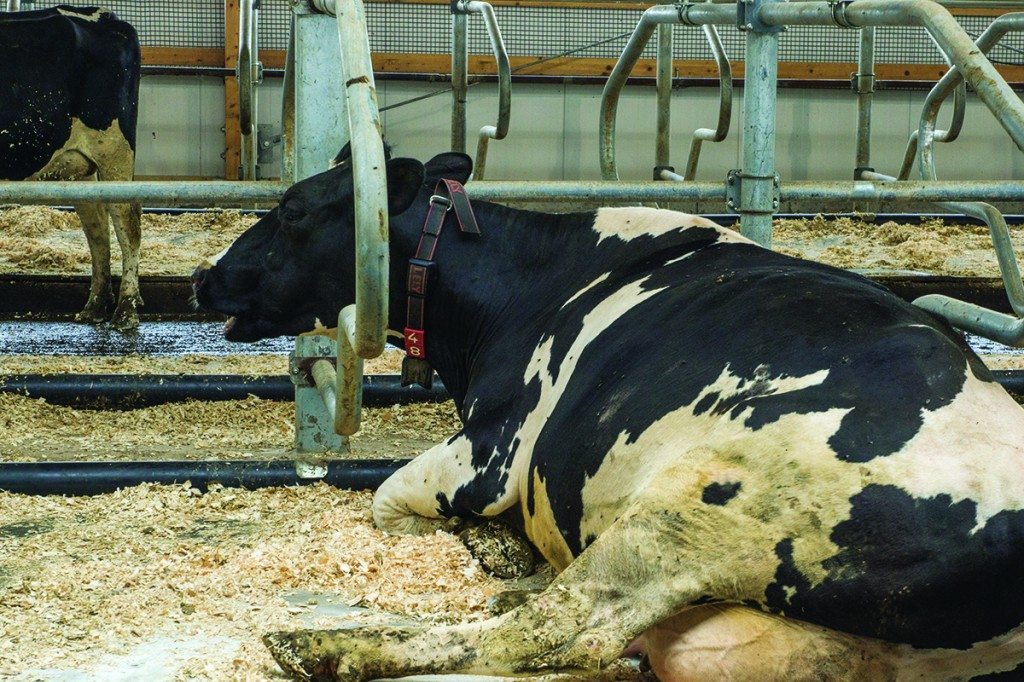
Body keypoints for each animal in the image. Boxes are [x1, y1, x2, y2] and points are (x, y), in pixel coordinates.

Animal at [1, 6, 142, 328]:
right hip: (83, 166)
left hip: (115, 151)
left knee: (128, 224)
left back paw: (126, 310)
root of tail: (107, 17)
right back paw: (96, 305)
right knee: (97, 226)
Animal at [193, 150, 1024, 680]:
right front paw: (501, 554)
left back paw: (326, 648)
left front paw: (490, 547)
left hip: (692, 511)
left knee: (560, 631)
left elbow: (387, 499)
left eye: (293, 208)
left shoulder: (492, 451)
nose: (205, 277)